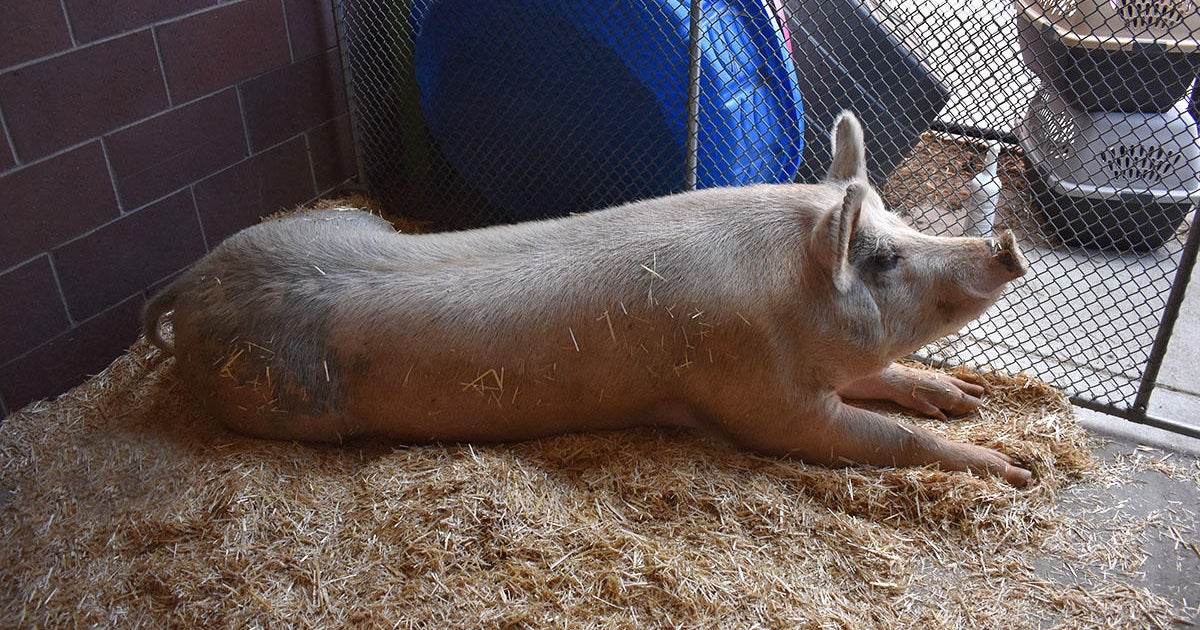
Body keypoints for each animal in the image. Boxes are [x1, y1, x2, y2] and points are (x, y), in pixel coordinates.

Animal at [143, 112, 1032, 486]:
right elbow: (883, 438)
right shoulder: (759, 401)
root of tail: (189, 287)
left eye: (903, 222)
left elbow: (887, 379)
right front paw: (1012, 467)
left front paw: (967, 397)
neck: (791, 310)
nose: (1005, 244)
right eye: (881, 258)